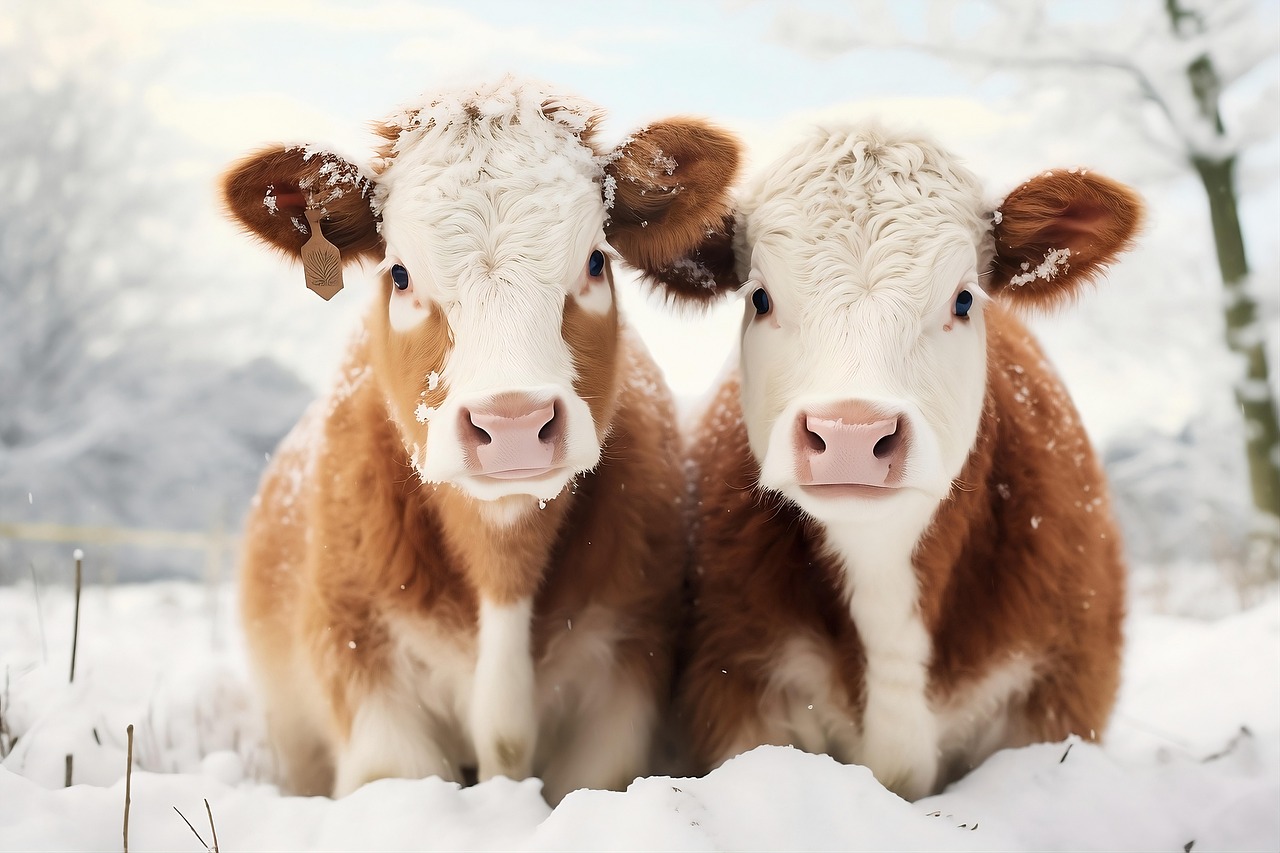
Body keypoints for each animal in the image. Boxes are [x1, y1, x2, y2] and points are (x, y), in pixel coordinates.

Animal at [220, 78, 741, 804]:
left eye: (596, 261)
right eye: (400, 275)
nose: (513, 422)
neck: (503, 571)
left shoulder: (625, 663)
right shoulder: (364, 666)